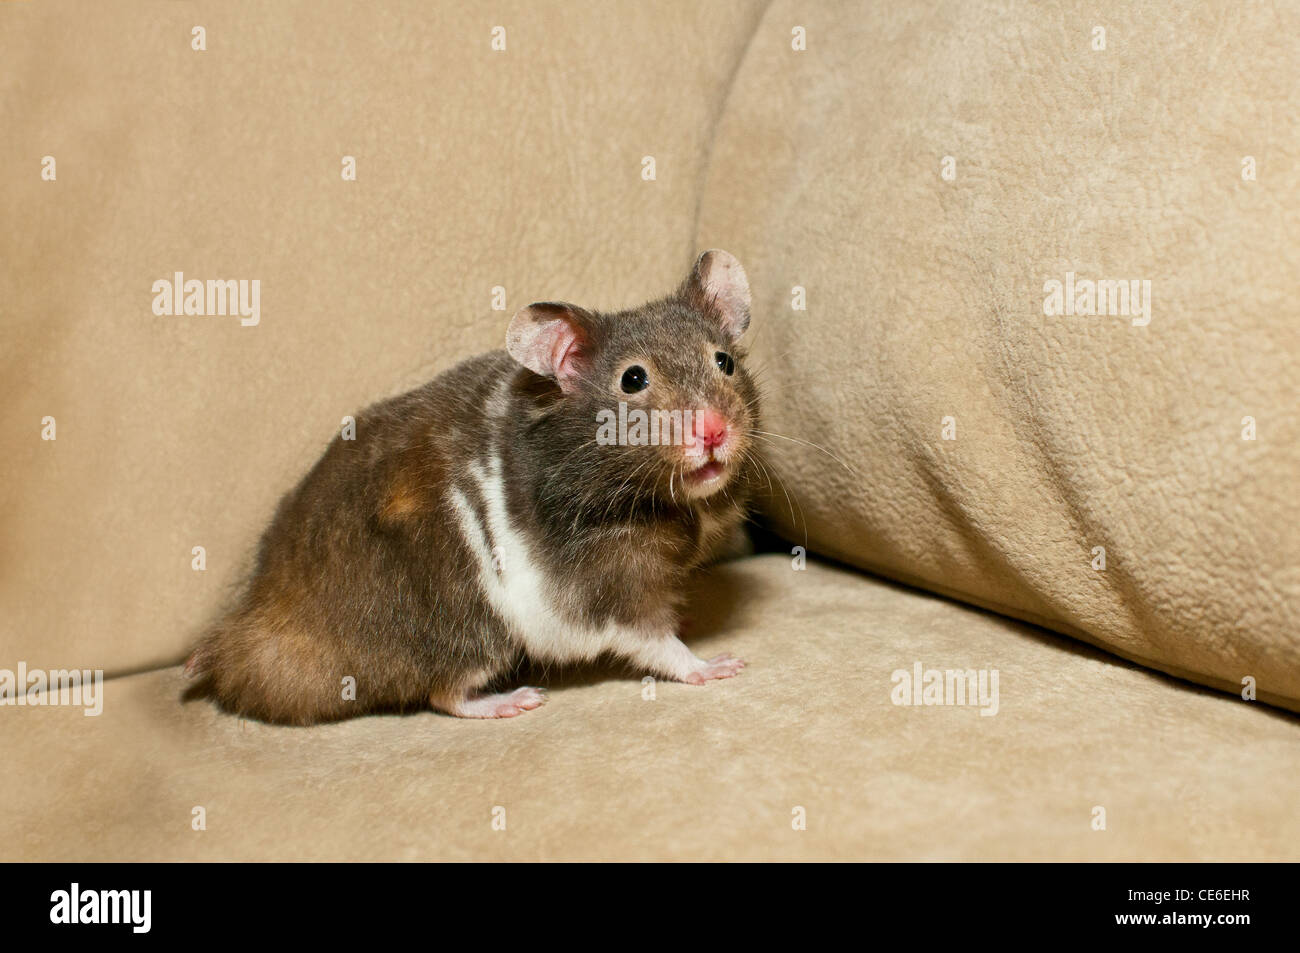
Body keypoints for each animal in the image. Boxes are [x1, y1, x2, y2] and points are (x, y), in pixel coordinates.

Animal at [185, 250, 762, 724]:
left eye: (725, 362)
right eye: (633, 380)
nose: (714, 431)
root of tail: (254, 621)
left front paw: (691, 616)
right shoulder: (608, 590)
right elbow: (656, 642)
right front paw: (720, 665)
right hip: (466, 625)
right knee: (446, 694)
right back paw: (514, 701)